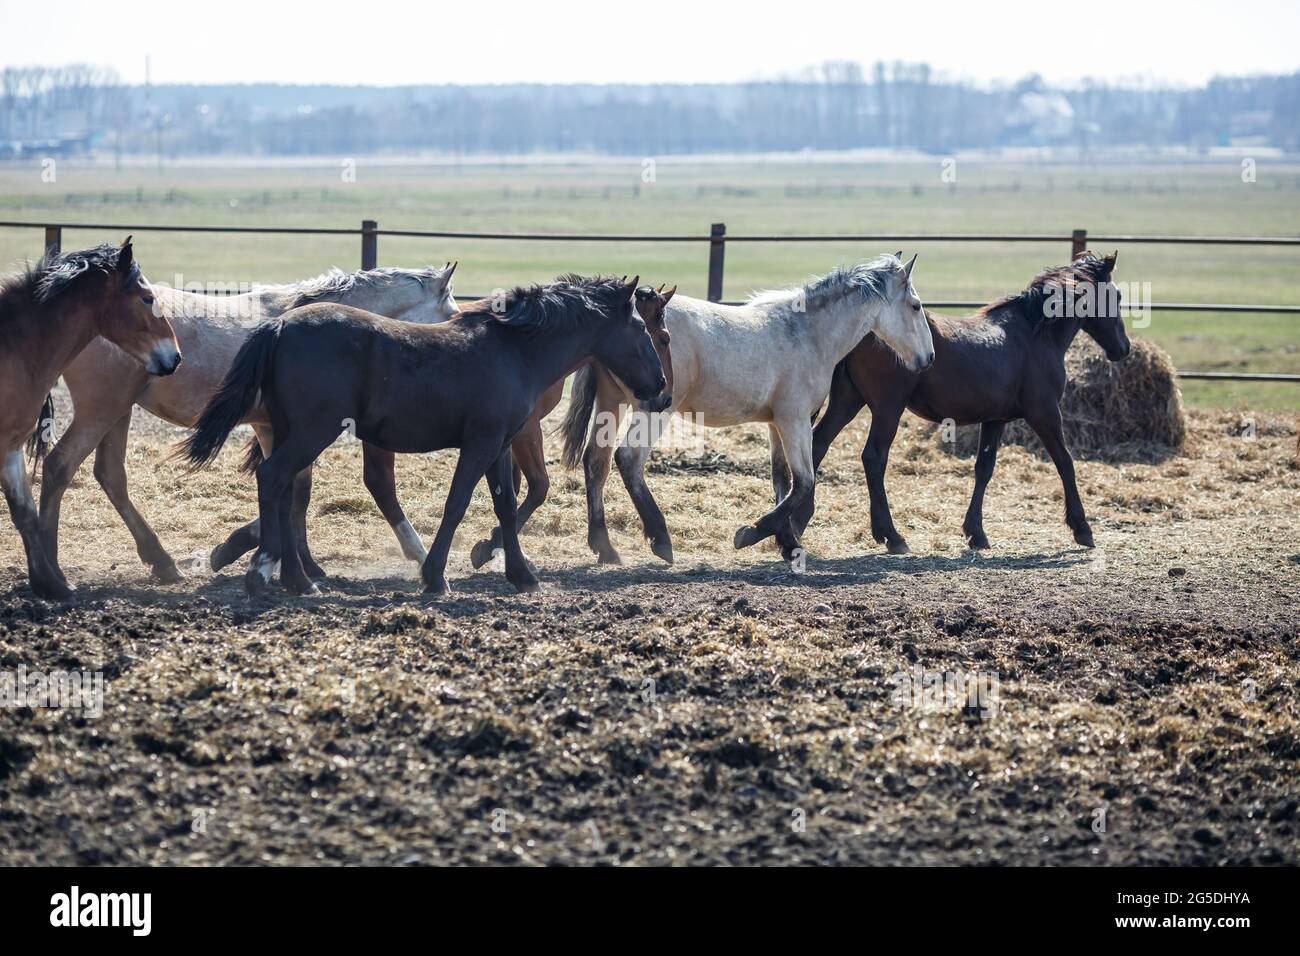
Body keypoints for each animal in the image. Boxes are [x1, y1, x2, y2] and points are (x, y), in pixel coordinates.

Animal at [0, 239, 181, 600]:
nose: (175, 356)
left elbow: (24, 513)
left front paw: (51, 584)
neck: (14, 348)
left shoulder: (11, 445)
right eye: (147, 298)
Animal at [39, 262, 459, 585]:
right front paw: (279, 562)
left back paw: (162, 563)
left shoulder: (275, 430)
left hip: (118, 412)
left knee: (110, 476)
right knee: (61, 466)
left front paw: (283, 561)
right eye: (452, 315)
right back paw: (52, 567)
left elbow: (294, 494)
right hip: (102, 409)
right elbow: (292, 493)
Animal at [181, 274, 666, 597]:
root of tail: (278, 326)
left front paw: (521, 574)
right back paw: (267, 571)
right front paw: (435, 576)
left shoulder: (500, 447)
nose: (660, 390)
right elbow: (457, 503)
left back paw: (295, 579)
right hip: (310, 433)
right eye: (643, 329)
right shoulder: (480, 444)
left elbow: (507, 506)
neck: (514, 351)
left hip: (288, 433)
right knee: (274, 480)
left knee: (285, 491)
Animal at [560, 254, 934, 565]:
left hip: (612, 403)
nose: (927, 358)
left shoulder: (776, 423)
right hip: (654, 409)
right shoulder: (795, 419)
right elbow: (804, 482)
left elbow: (783, 481)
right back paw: (661, 539)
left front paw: (787, 543)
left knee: (597, 461)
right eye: (916, 306)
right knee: (628, 459)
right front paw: (751, 534)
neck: (808, 335)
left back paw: (605, 547)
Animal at [793, 251, 1129, 552]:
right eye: (1116, 296)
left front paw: (976, 533)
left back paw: (798, 523)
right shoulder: (1044, 414)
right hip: (887, 408)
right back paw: (891, 536)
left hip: (848, 401)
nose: (1123, 349)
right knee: (874, 458)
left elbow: (984, 469)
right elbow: (1065, 463)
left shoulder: (995, 420)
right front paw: (1082, 529)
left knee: (817, 446)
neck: (1035, 336)